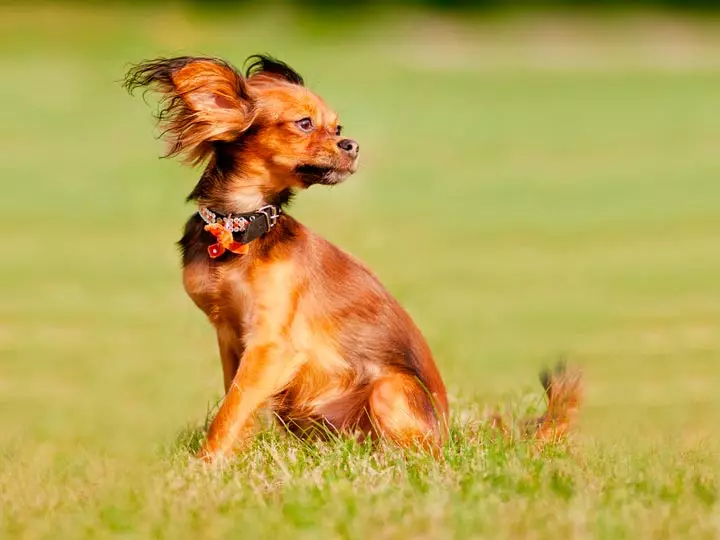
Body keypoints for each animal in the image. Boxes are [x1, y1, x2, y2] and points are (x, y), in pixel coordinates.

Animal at [124, 53, 580, 460]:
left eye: (338, 127)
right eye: (304, 124)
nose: (353, 144)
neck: (239, 230)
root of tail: (449, 430)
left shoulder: (270, 346)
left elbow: (230, 413)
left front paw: (203, 468)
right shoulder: (230, 337)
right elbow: (235, 406)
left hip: (388, 390)